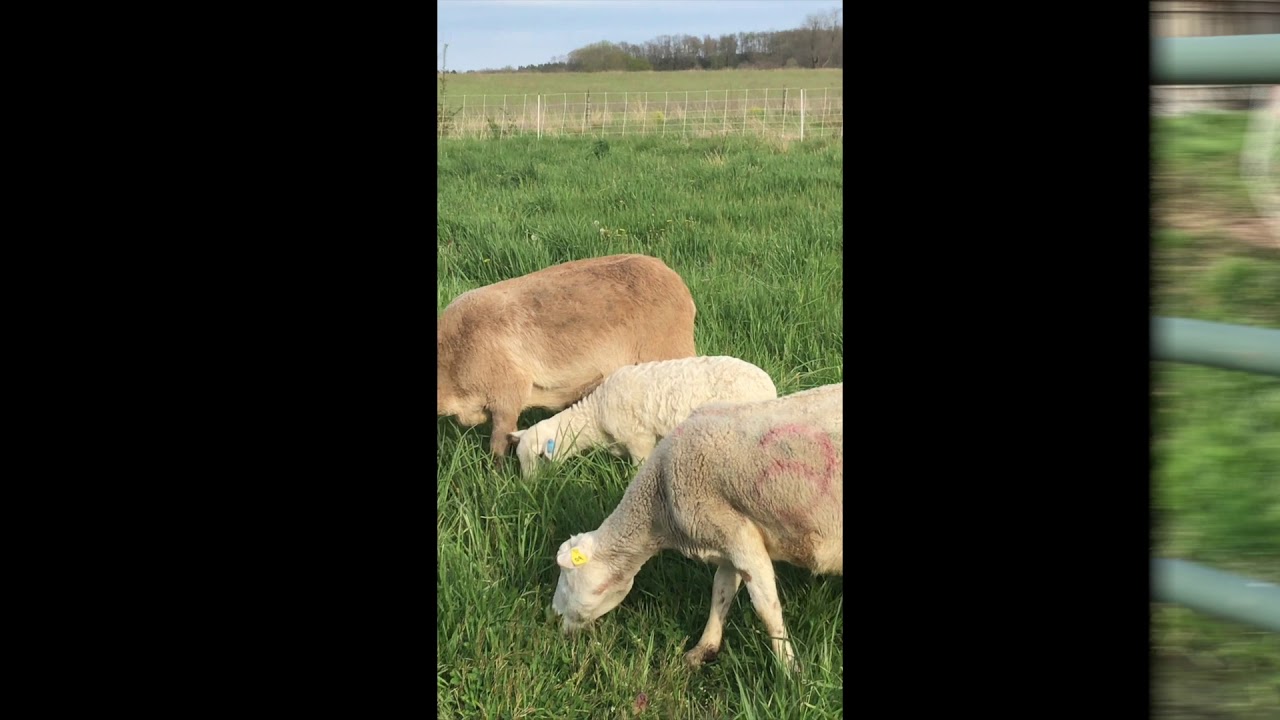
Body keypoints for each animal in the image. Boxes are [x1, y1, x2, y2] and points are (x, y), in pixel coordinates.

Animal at [549, 382, 842, 674]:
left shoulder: (741, 537)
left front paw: (788, 669)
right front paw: (704, 649)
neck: (660, 504)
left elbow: (766, 608)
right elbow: (721, 592)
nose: (553, 617)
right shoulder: (724, 540)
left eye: (566, 581)